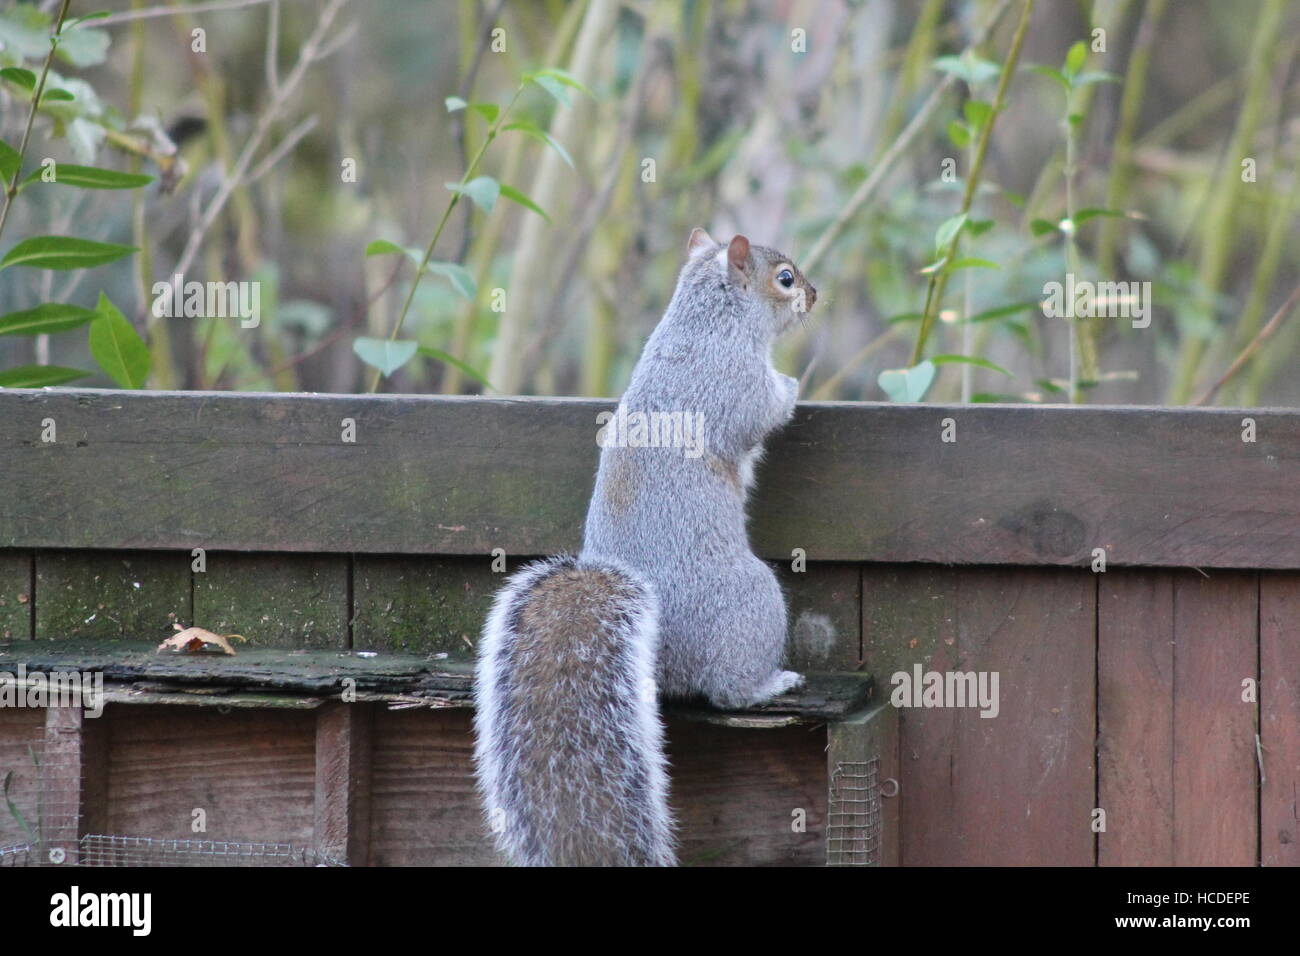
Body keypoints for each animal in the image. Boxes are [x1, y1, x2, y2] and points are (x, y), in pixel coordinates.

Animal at [474, 228, 817, 866]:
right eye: (784, 278)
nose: (814, 294)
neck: (706, 319)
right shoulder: (731, 382)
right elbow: (759, 412)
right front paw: (791, 384)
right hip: (750, 600)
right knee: (727, 691)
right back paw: (767, 684)